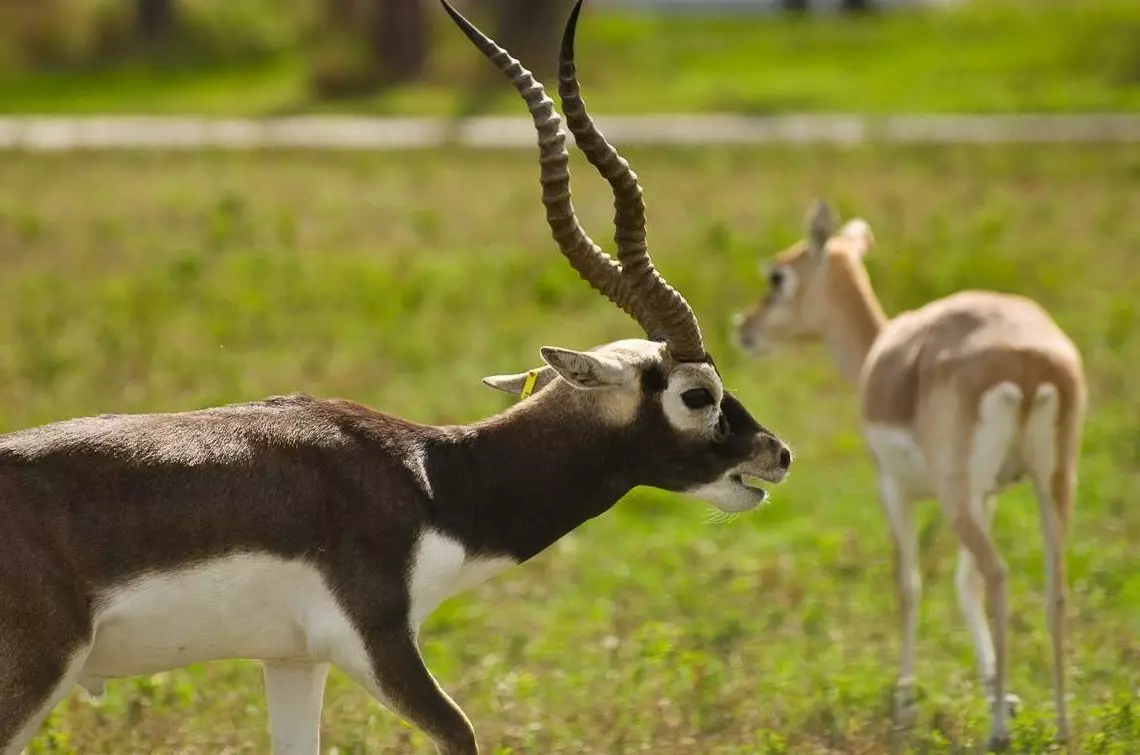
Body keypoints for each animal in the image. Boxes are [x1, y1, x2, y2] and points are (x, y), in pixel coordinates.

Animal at [0, 1, 793, 755]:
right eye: (697, 394)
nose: (777, 453)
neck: (434, 479)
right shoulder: (375, 640)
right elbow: (463, 733)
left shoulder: (293, 659)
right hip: (34, 675)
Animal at [729, 199, 1085, 752]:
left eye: (778, 276)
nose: (745, 327)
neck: (881, 353)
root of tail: (1029, 362)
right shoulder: (989, 495)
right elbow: (962, 584)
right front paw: (999, 695)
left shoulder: (893, 489)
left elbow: (909, 586)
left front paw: (906, 705)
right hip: (1053, 486)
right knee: (1054, 588)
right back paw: (1064, 726)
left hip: (960, 498)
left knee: (999, 575)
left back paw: (999, 733)